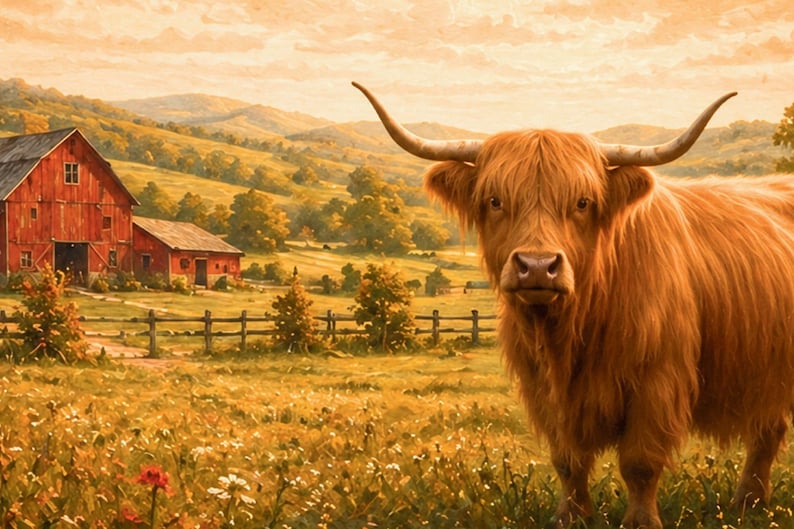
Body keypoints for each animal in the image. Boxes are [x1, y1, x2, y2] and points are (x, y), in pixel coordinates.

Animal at [353, 82, 794, 529]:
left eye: (582, 202)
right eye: (495, 200)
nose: (537, 266)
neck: (572, 331)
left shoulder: (658, 378)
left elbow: (640, 462)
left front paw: (640, 521)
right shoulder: (544, 387)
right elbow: (568, 460)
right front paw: (571, 515)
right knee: (769, 428)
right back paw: (749, 502)